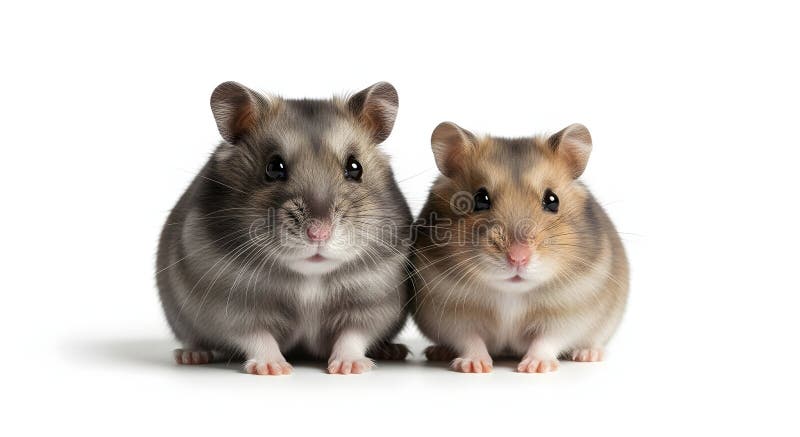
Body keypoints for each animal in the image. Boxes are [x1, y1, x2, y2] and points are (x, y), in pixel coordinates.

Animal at [156, 81, 412, 375]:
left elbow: (353, 334)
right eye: (274, 168)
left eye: (355, 167)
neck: (310, 278)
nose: (319, 233)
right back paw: (191, 355)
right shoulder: (229, 308)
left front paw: (349, 367)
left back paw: (392, 351)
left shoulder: (374, 303)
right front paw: (274, 369)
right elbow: (257, 336)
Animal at [410, 122, 629, 373]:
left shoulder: (569, 315)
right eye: (480, 199)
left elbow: (547, 340)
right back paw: (438, 352)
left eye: (552, 200)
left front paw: (535, 367)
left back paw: (588, 354)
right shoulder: (451, 317)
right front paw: (474, 366)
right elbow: (469, 339)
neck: (511, 293)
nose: (518, 258)